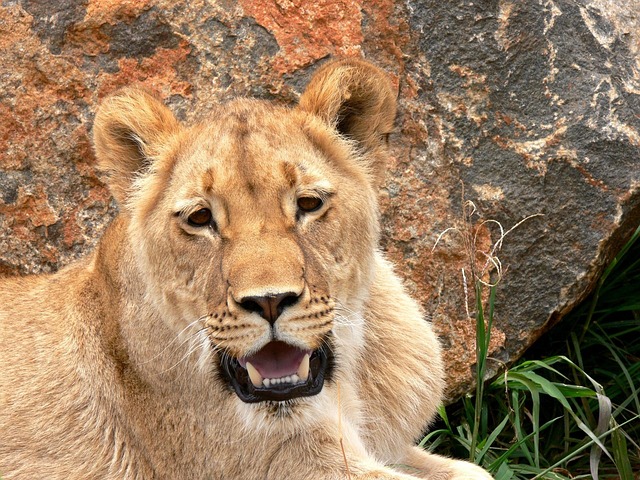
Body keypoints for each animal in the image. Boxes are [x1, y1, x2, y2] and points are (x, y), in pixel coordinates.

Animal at [0, 59, 492, 479]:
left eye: (308, 204)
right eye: (200, 218)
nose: (270, 301)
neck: (344, 389)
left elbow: (474, 471)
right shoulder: (282, 463)